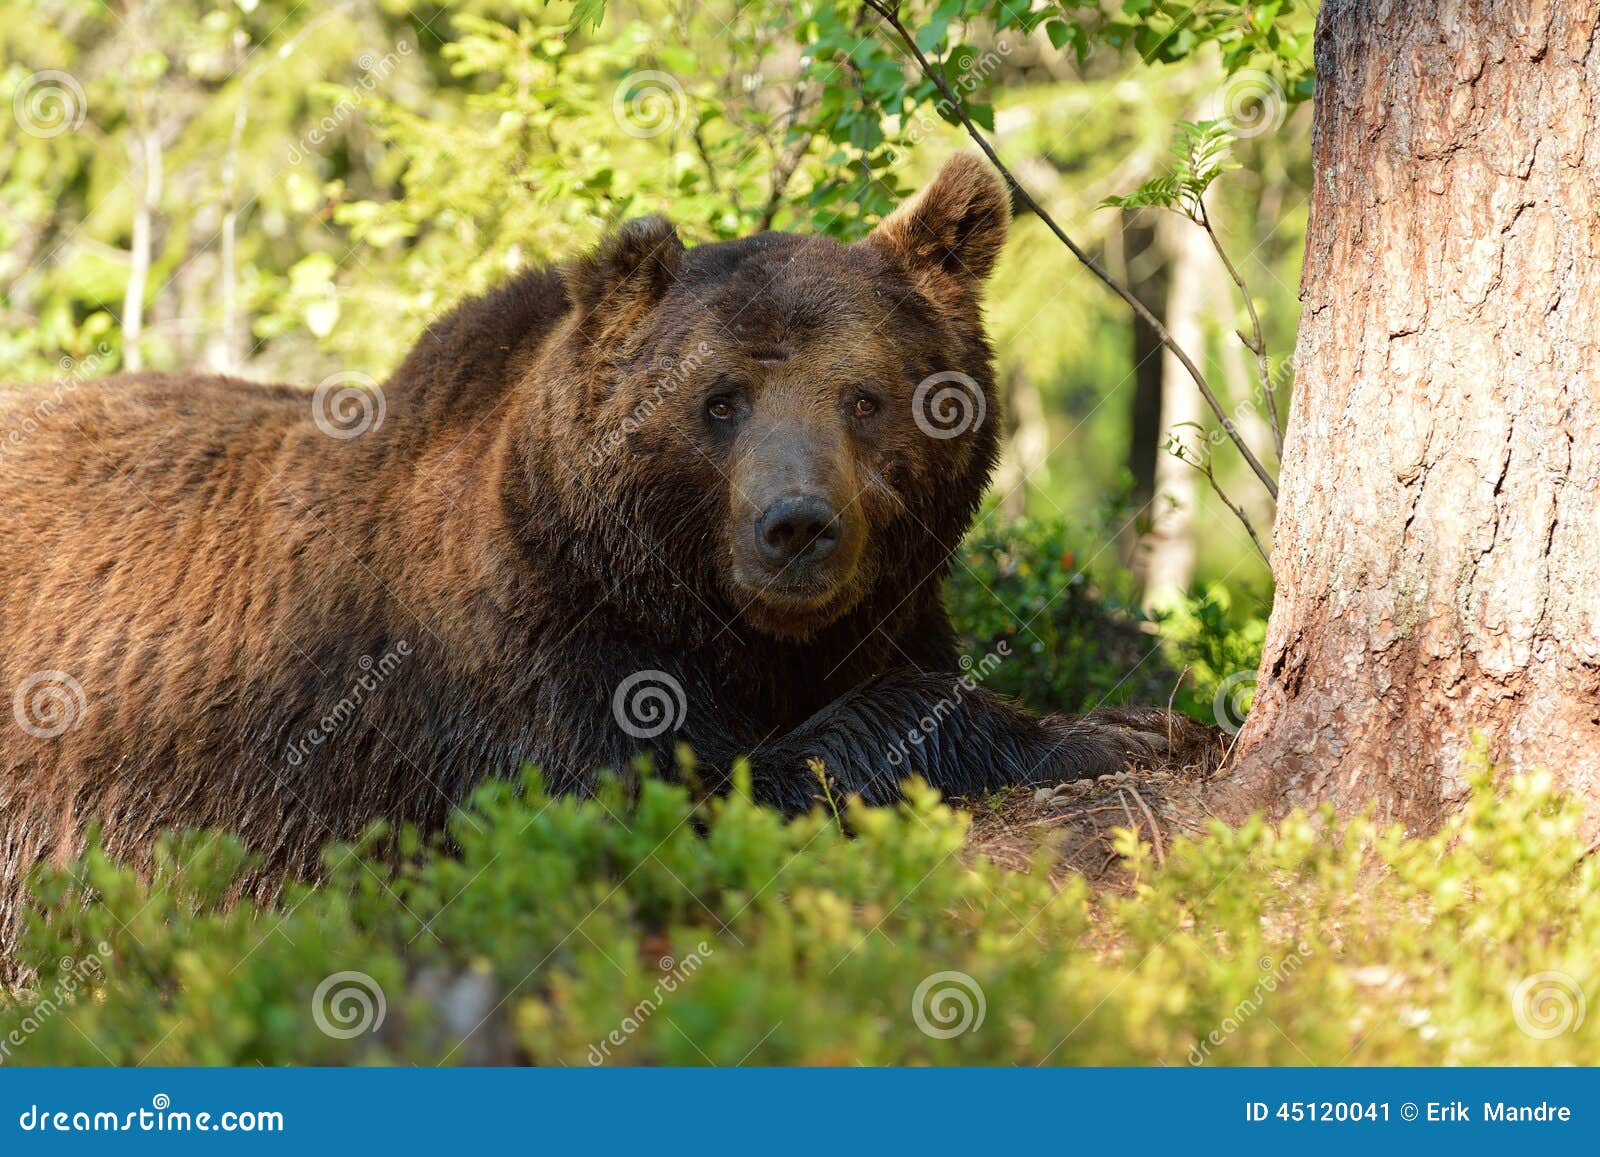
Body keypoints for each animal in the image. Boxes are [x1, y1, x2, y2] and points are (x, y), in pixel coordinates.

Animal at [0, 155, 1205, 964]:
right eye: (720, 399)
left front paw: (1131, 716)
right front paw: (1113, 728)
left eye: (865, 396)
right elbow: (699, 794)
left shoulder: (881, 612)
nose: (796, 526)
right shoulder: (516, 673)